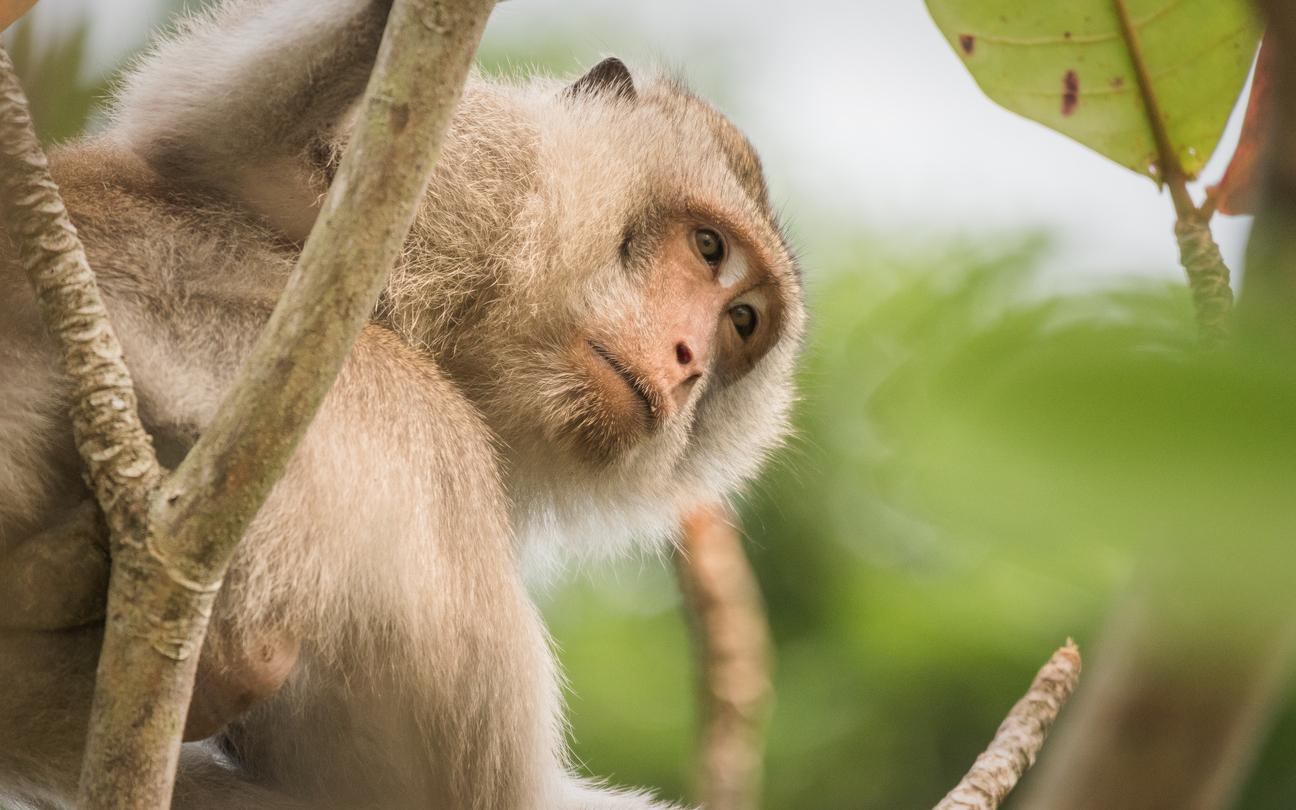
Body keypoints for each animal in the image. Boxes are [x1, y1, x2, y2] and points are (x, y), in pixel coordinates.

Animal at [0, 0, 805, 807]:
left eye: (742, 322)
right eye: (708, 247)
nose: (688, 360)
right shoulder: (476, 166)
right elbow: (209, 133)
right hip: (173, 336)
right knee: (426, 417)